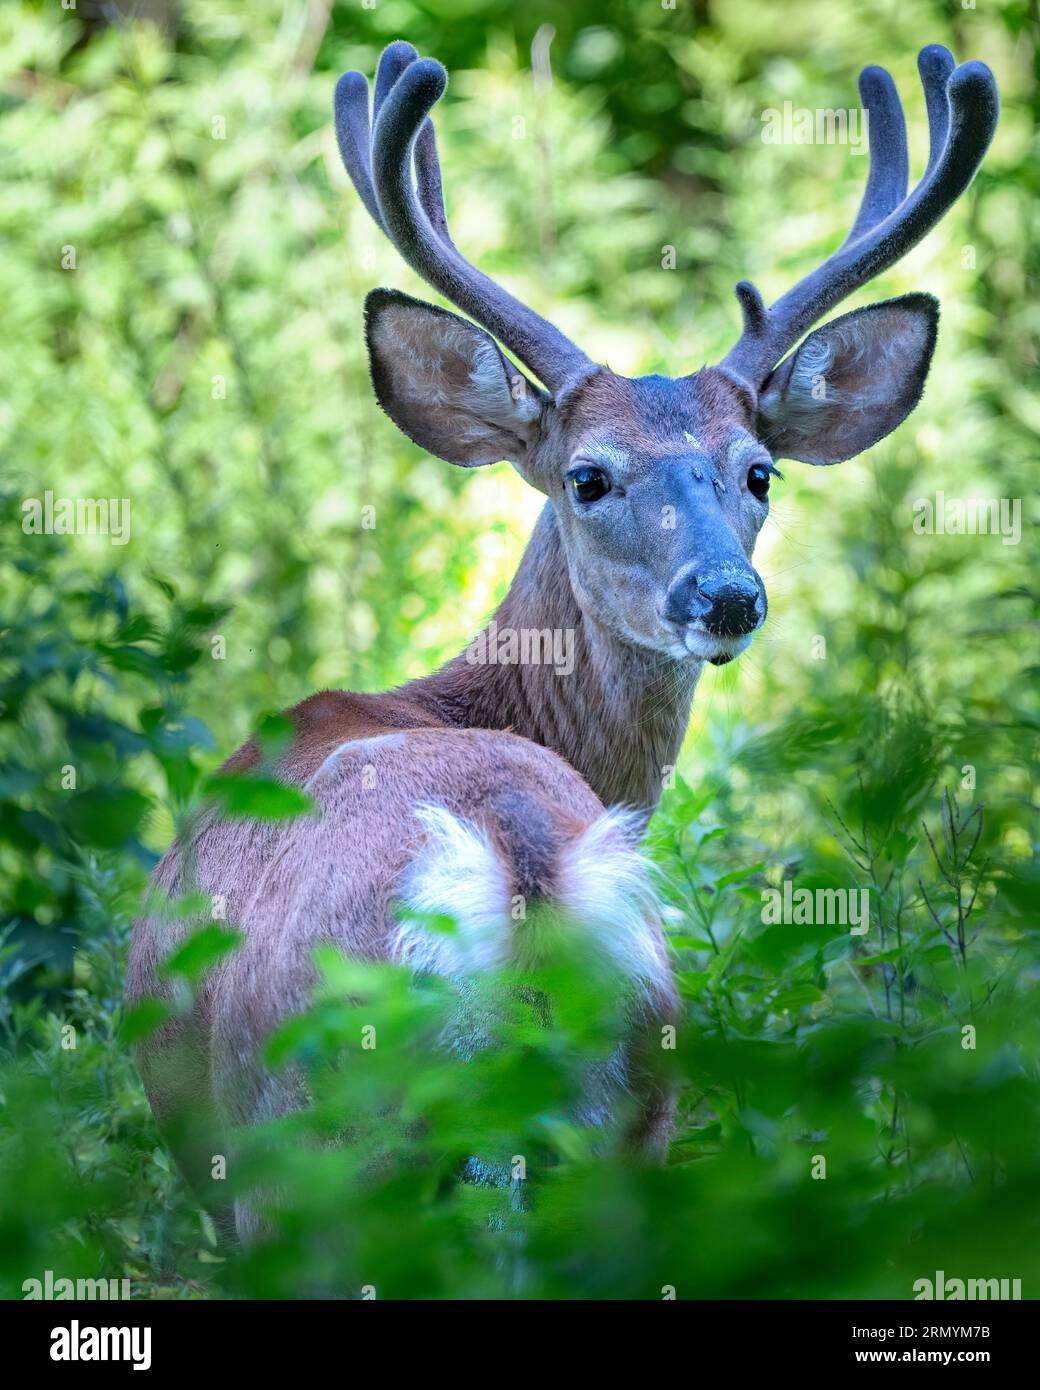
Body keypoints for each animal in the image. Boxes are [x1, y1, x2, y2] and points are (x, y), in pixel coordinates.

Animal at [127, 41, 998, 1241]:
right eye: (588, 475)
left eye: (757, 473)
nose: (726, 596)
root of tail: (521, 863)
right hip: (637, 1100)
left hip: (306, 1139)